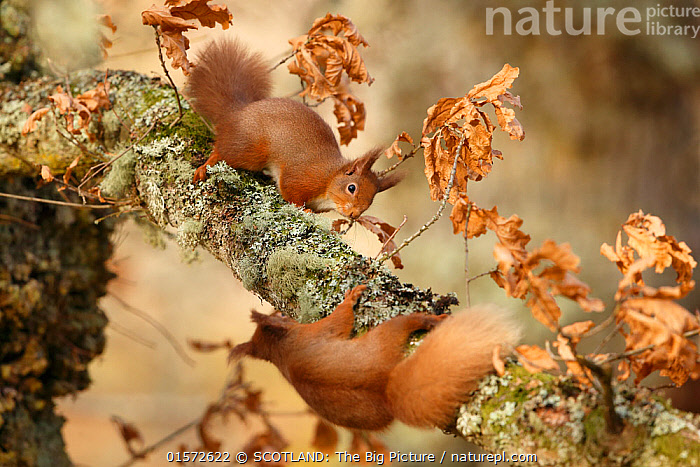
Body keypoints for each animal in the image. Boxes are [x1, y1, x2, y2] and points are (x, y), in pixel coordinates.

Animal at [186, 39, 403, 219]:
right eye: (352, 188)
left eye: (373, 198)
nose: (354, 215)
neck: (329, 178)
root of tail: (237, 112)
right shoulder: (303, 177)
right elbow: (291, 192)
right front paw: (303, 209)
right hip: (249, 149)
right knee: (223, 150)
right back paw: (206, 165)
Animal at [230, 285, 522, 431]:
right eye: (281, 317)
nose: (279, 311)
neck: (281, 350)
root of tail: (385, 390)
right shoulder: (317, 331)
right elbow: (342, 318)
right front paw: (350, 297)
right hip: (387, 335)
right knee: (405, 324)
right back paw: (429, 319)